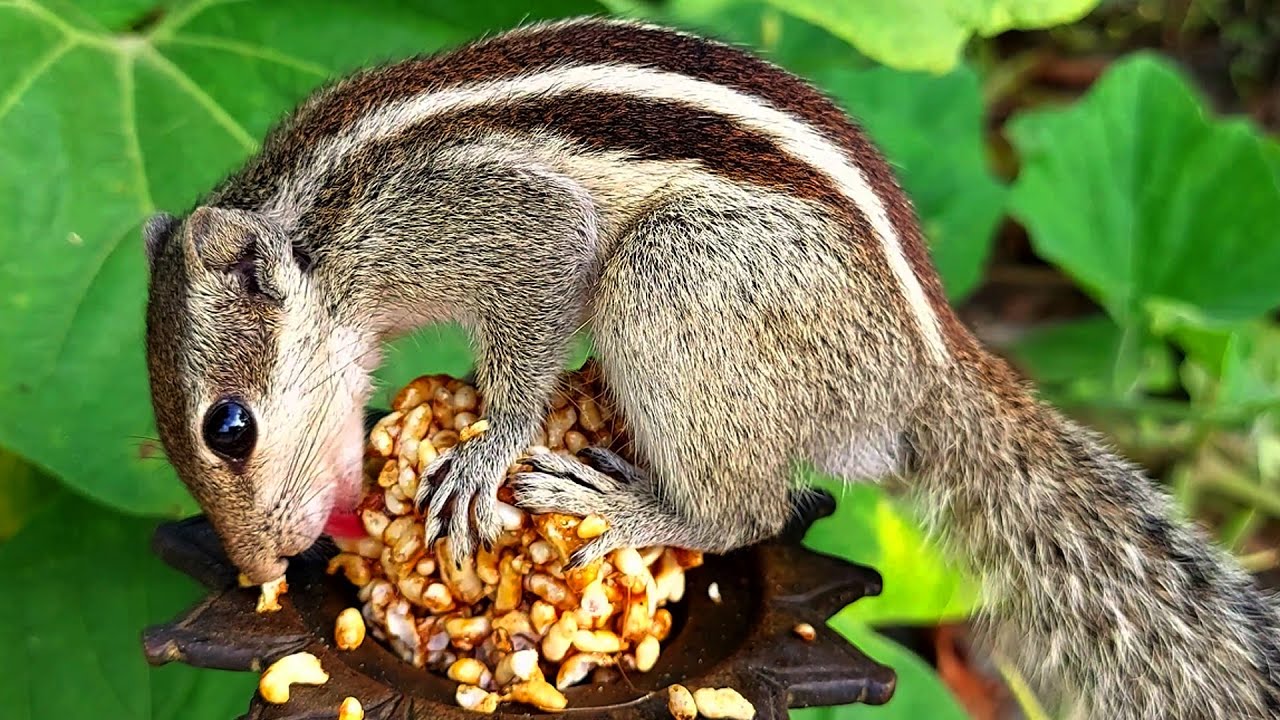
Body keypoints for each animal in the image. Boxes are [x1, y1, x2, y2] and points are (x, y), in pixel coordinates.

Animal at [141, 16, 1280, 719]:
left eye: (228, 427)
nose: (261, 569)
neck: (312, 220)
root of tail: (924, 369)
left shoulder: (478, 224)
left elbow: (538, 298)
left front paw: (485, 452)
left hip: (674, 280)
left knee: (748, 509)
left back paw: (630, 506)